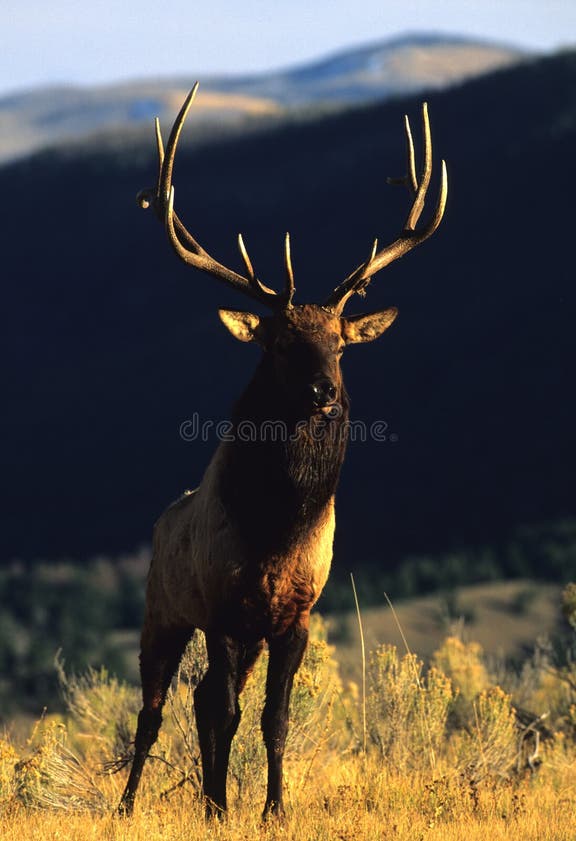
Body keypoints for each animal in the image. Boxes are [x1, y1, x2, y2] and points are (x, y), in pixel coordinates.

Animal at [118, 83, 447, 819]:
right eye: (281, 345)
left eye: (341, 344)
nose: (326, 392)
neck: (275, 530)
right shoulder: (218, 607)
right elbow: (226, 712)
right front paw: (221, 808)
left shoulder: (295, 614)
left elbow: (274, 717)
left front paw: (271, 809)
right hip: (163, 608)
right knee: (157, 708)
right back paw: (127, 804)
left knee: (200, 698)